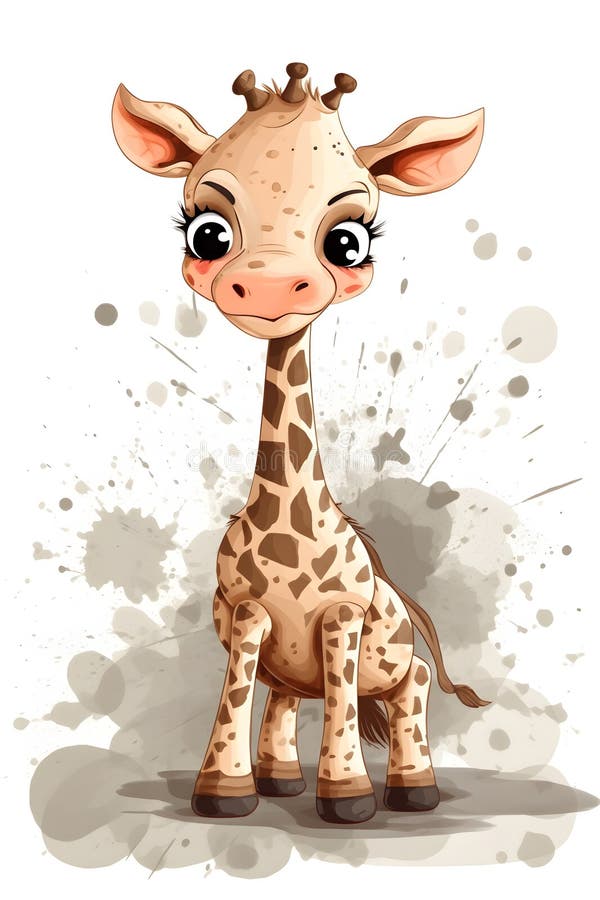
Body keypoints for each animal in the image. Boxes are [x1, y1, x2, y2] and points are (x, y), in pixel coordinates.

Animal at [112, 62, 489, 825]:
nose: (267, 286)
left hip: (397, 659)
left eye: (349, 241)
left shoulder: (343, 616)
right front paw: (224, 792)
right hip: (294, 669)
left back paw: (413, 789)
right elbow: (236, 688)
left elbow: (342, 699)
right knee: (287, 696)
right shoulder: (249, 614)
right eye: (206, 234)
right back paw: (280, 777)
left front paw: (348, 797)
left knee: (411, 685)